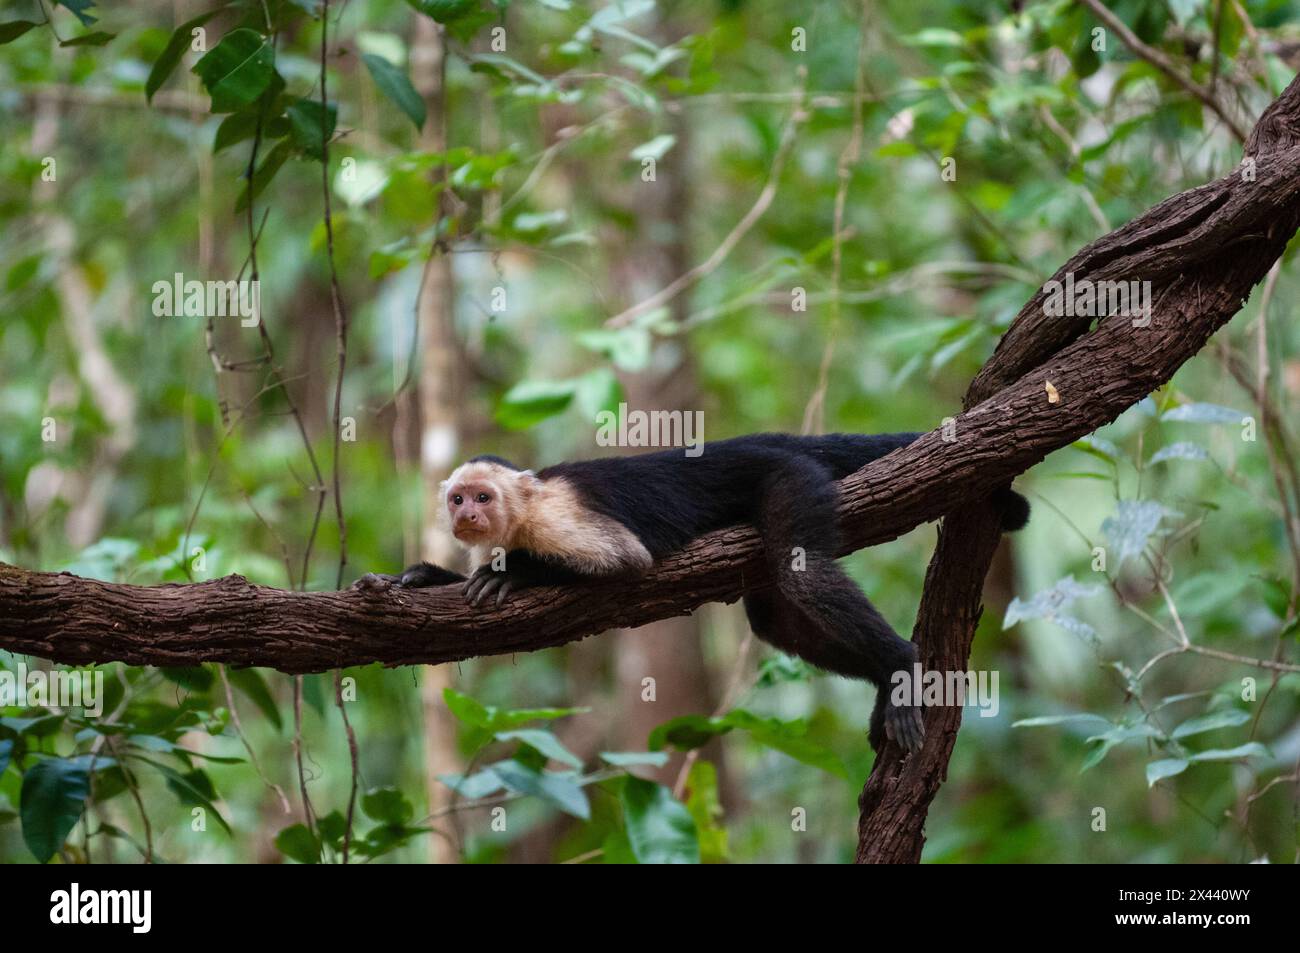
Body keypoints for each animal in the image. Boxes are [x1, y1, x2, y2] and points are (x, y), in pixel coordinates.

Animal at [354, 432, 1029, 753]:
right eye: (456, 499)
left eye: (483, 495)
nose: (467, 514)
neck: (523, 513)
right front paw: (425, 576)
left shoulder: (556, 519)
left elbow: (624, 560)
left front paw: (512, 574)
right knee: (775, 619)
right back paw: (885, 684)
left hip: (789, 476)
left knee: (801, 571)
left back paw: (901, 665)